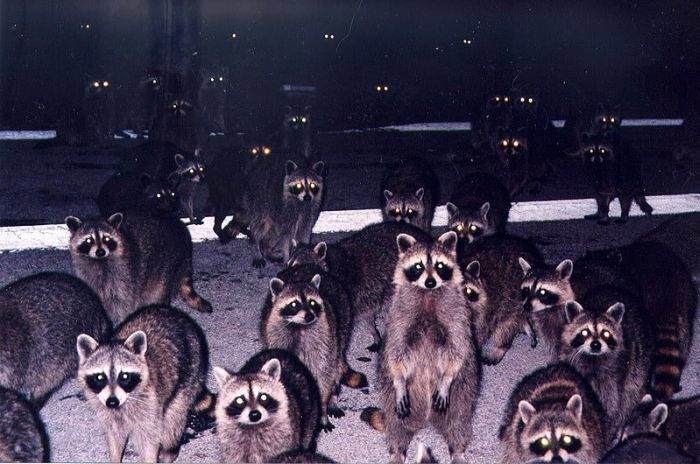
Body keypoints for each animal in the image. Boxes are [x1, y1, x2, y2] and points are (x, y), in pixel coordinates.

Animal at [66, 212, 212, 324]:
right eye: (89, 240)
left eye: (106, 239)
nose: (101, 251)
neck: (100, 261)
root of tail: (183, 232)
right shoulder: (87, 273)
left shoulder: (124, 276)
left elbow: (122, 303)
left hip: (168, 265)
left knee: (155, 294)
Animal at [77, 305, 210, 463]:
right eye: (100, 377)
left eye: (124, 376)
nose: (112, 402)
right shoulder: (105, 408)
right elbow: (114, 435)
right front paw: (115, 457)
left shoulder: (150, 403)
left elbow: (149, 439)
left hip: (190, 373)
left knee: (173, 419)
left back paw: (170, 451)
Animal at [261, 265, 367, 430]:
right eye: (294, 304)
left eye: (312, 303)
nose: (309, 316)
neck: (300, 328)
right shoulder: (277, 338)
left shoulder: (324, 343)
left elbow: (323, 377)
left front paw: (322, 411)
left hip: (342, 328)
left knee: (335, 368)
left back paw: (333, 398)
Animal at [377, 231, 480, 464]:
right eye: (418, 266)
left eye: (440, 266)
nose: (431, 281)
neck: (428, 295)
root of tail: (425, 419)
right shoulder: (399, 315)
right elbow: (395, 352)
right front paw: (399, 380)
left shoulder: (457, 315)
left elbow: (458, 349)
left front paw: (446, 378)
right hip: (394, 402)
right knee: (395, 426)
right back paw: (397, 451)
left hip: (460, 395)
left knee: (459, 423)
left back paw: (457, 450)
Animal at [558, 287, 654, 431]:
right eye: (585, 332)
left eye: (606, 333)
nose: (595, 345)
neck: (593, 358)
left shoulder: (615, 376)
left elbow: (613, 403)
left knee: (630, 395)